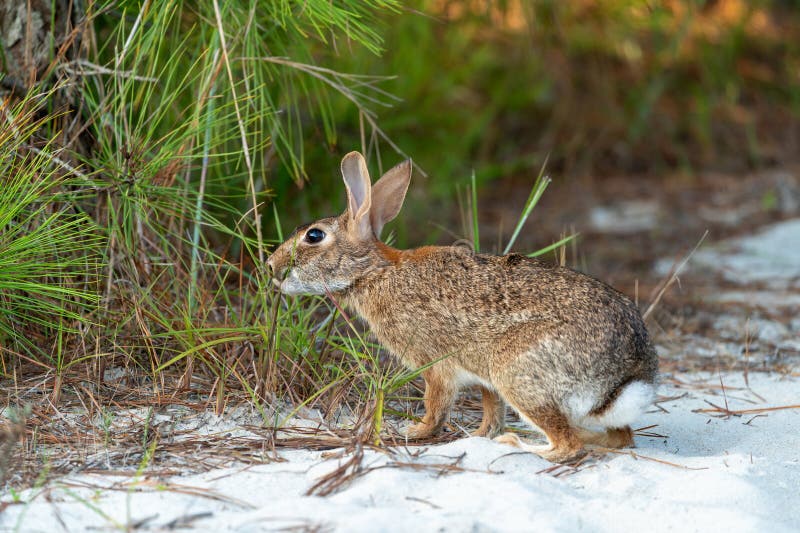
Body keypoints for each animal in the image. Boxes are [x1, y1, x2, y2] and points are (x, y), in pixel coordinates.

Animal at [267, 151, 658, 463]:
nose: (271, 267)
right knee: (618, 437)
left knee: (567, 445)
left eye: (314, 236)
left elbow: (436, 405)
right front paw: (479, 435)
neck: (375, 272)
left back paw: (517, 444)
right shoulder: (483, 380)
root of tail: (628, 375)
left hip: (515, 370)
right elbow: (490, 411)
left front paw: (414, 431)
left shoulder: (435, 365)